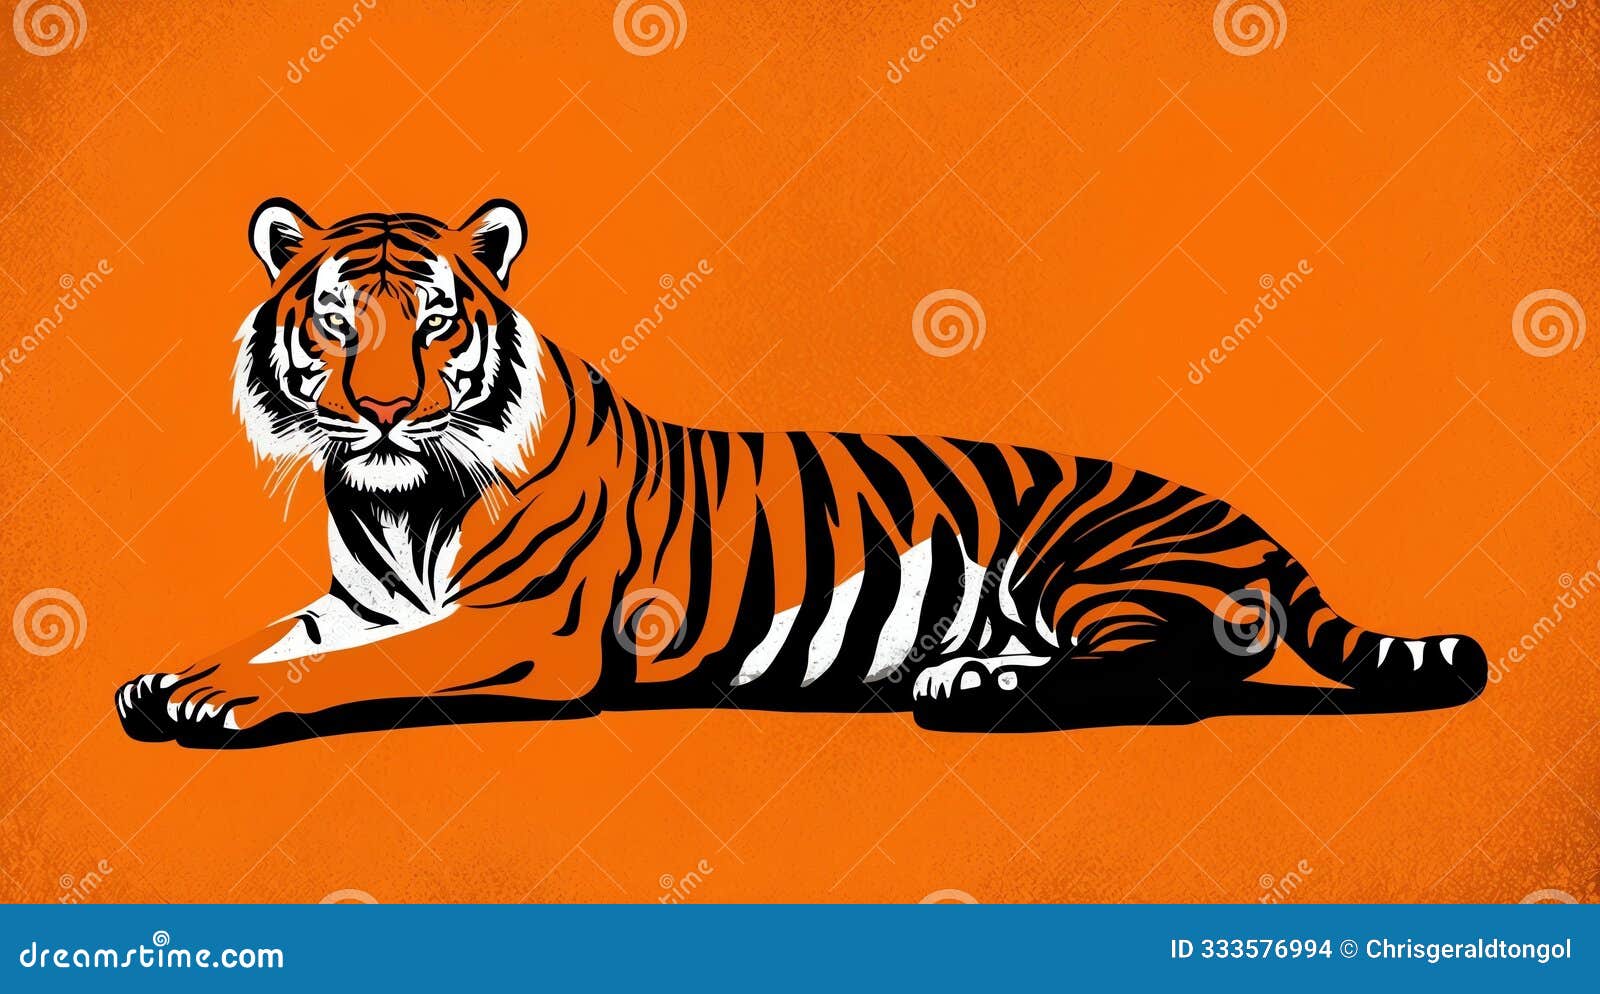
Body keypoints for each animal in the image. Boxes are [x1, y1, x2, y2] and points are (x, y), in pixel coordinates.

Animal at [115, 198, 1487, 748]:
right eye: (338, 321)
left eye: (438, 320)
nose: (386, 409)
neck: (395, 507)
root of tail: (1253, 518)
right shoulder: (351, 602)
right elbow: (283, 638)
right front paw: (164, 679)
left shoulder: (523, 630)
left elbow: (361, 668)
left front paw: (221, 702)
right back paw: (971, 668)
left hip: (1087, 559)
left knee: (1168, 672)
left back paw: (972, 692)